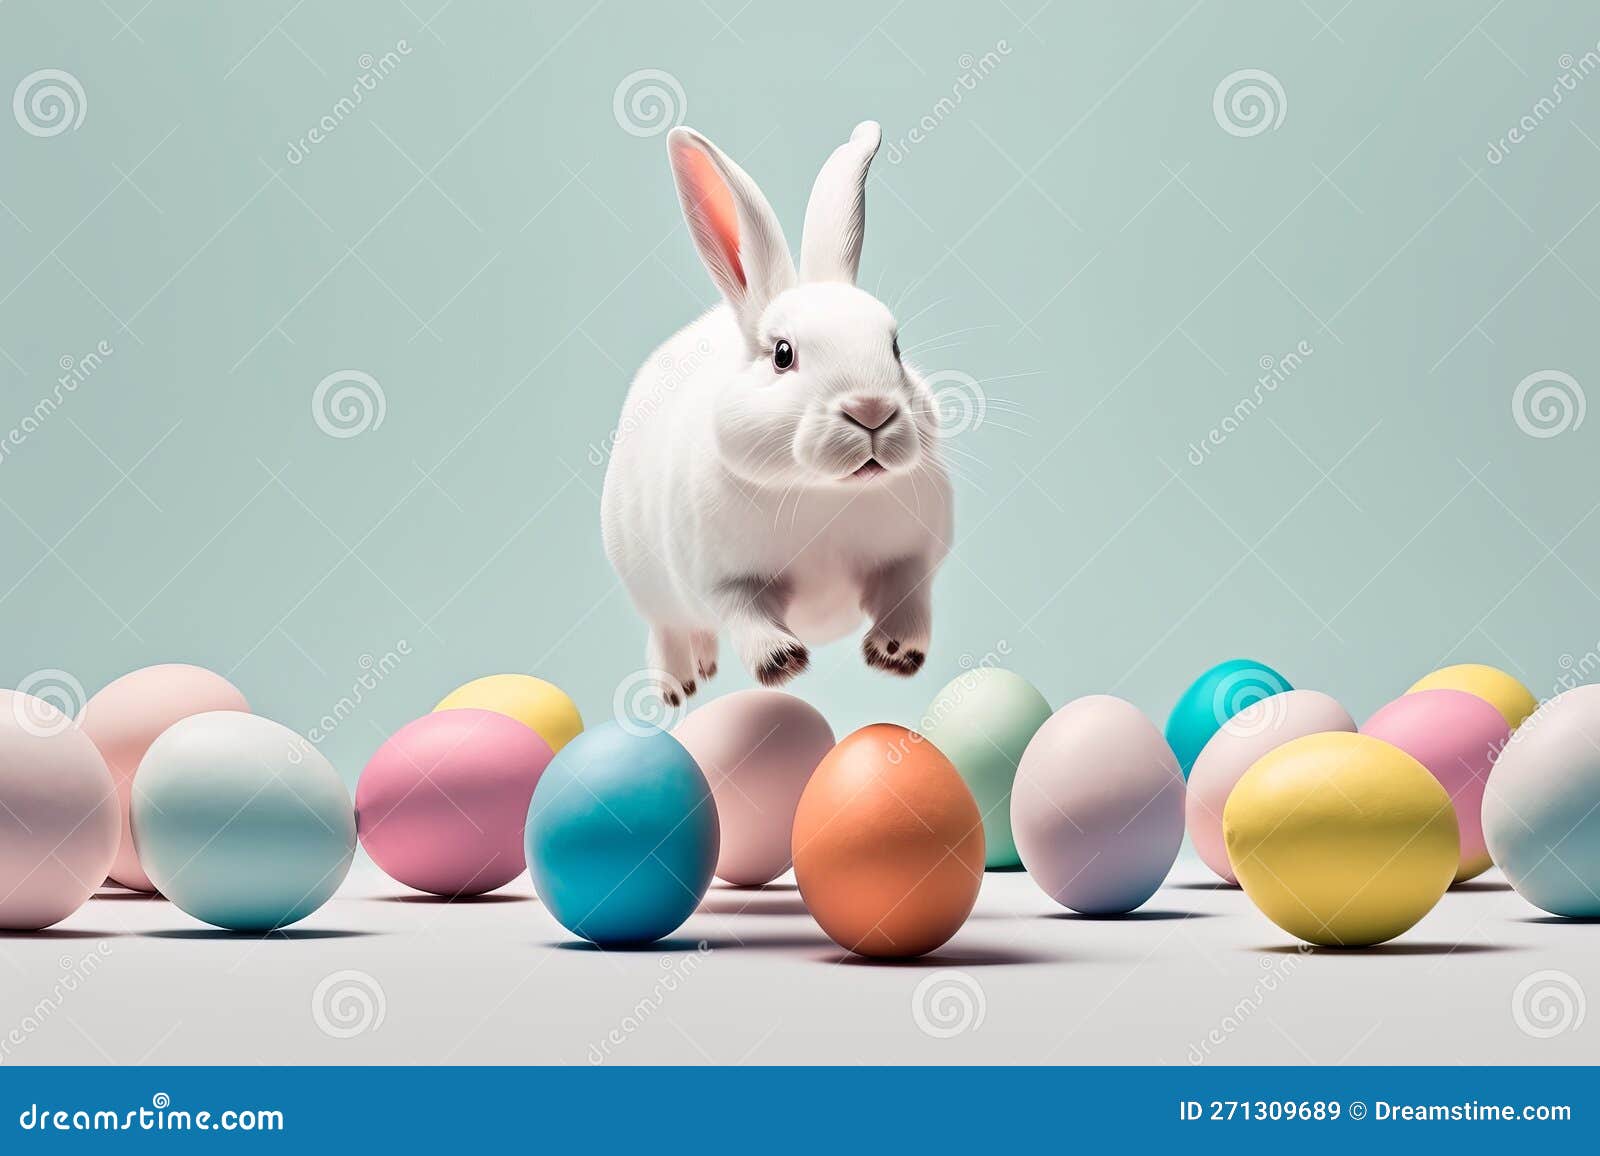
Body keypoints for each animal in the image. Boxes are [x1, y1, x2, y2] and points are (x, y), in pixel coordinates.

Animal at [601, 120, 953, 704]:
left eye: (895, 347)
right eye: (783, 355)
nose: (871, 411)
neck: (824, 495)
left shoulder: (913, 556)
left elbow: (908, 594)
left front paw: (896, 654)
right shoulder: (723, 580)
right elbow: (746, 613)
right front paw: (782, 661)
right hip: (645, 579)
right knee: (670, 626)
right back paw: (680, 685)